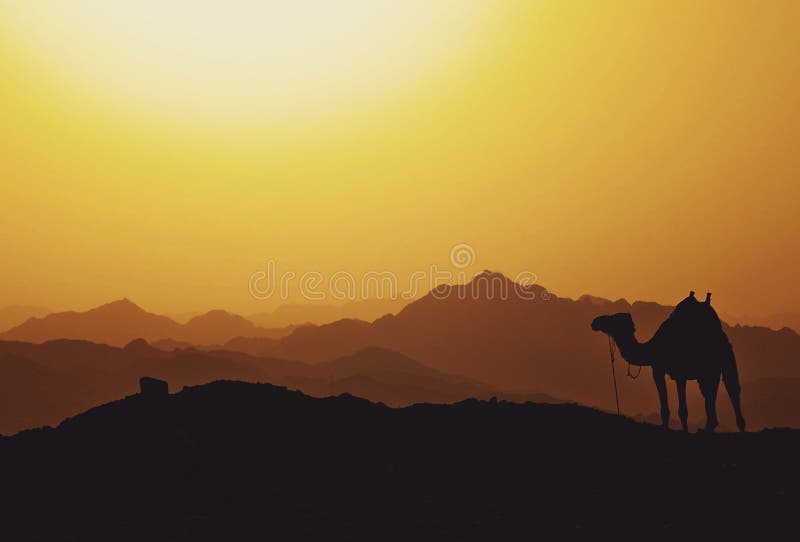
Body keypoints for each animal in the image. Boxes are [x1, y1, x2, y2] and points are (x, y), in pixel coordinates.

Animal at [591, 292, 745, 433]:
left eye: (613, 319)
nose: (595, 322)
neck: (655, 347)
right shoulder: (658, 371)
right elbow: (665, 410)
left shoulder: (678, 374)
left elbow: (682, 411)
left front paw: (685, 431)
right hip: (709, 372)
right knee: (710, 395)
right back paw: (708, 428)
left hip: (726, 360)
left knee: (732, 390)